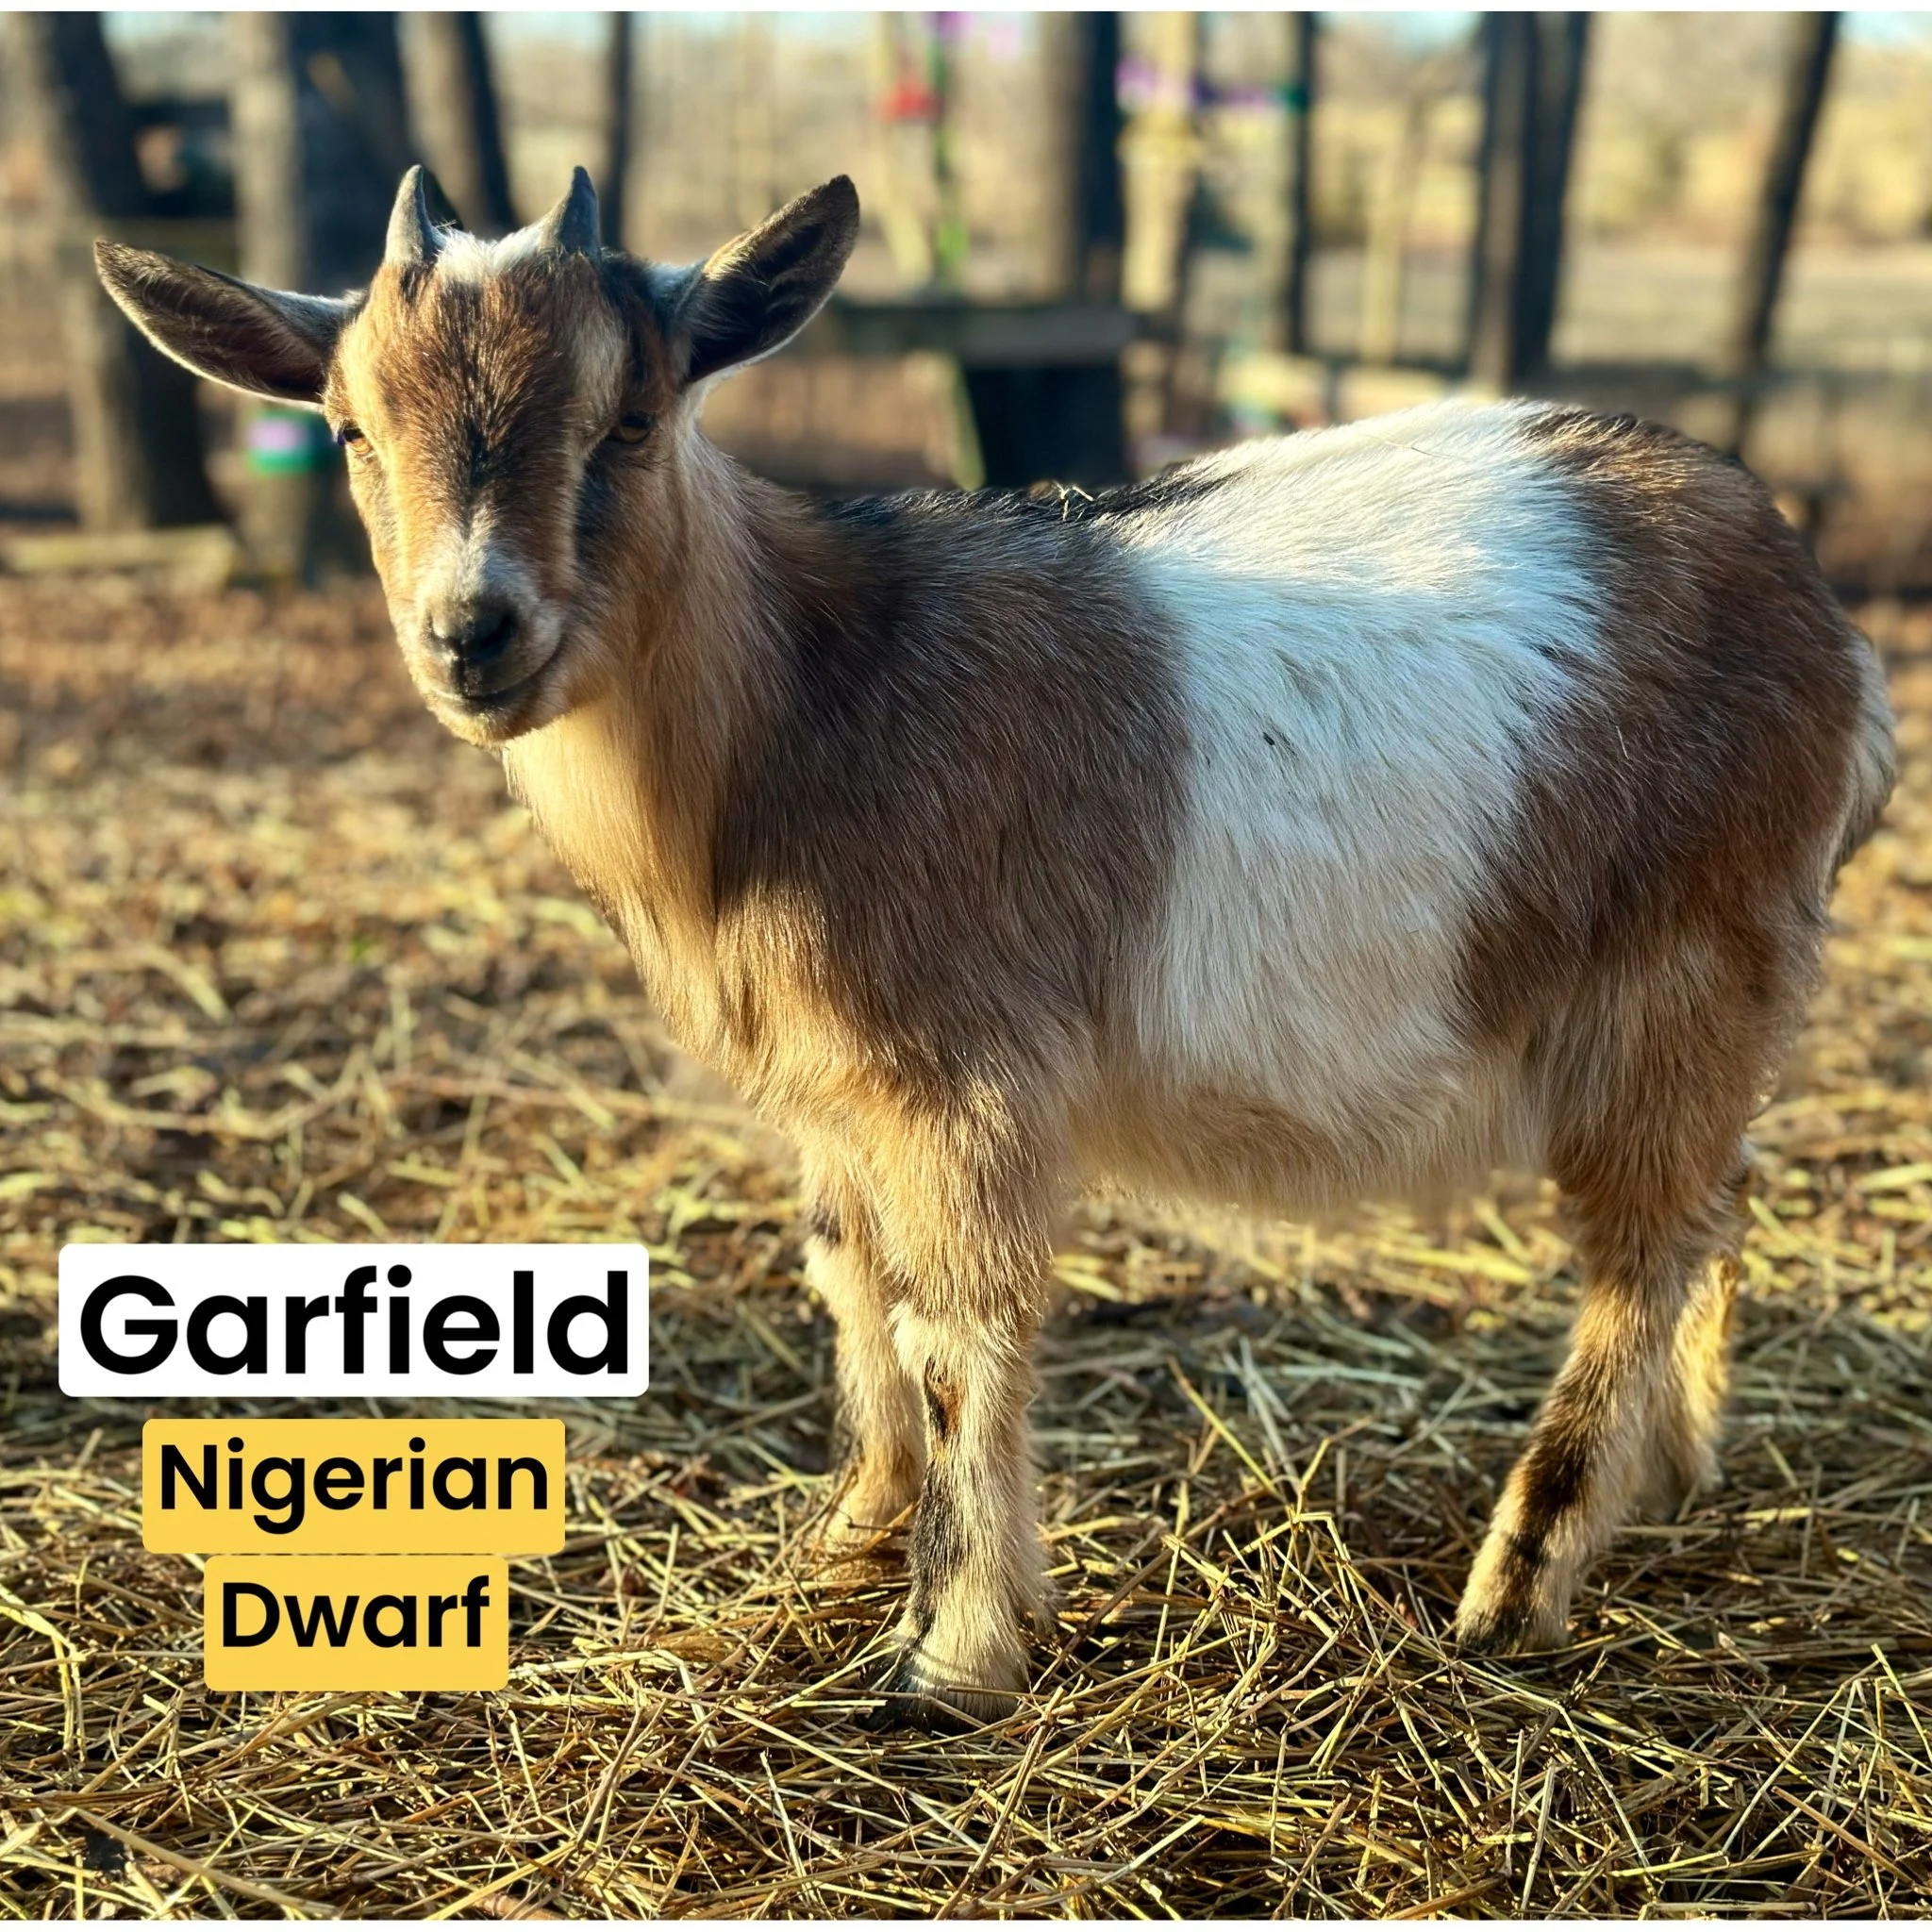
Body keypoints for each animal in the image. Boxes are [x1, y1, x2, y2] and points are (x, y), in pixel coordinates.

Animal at [98, 168, 1895, 1724]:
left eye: (632, 415)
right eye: (347, 428)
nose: (473, 631)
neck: (809, 707)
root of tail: (1832, 632)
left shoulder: (961, 1080)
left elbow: (957, 1333)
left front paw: (951, 1653)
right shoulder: (831, 1093)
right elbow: (851, 1283)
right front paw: (848, 1536)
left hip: (1681, 962)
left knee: (1644, 1247)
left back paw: (1522, 1577)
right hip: (1717, 996)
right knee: (1717, 1209)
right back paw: (1679, 1471)